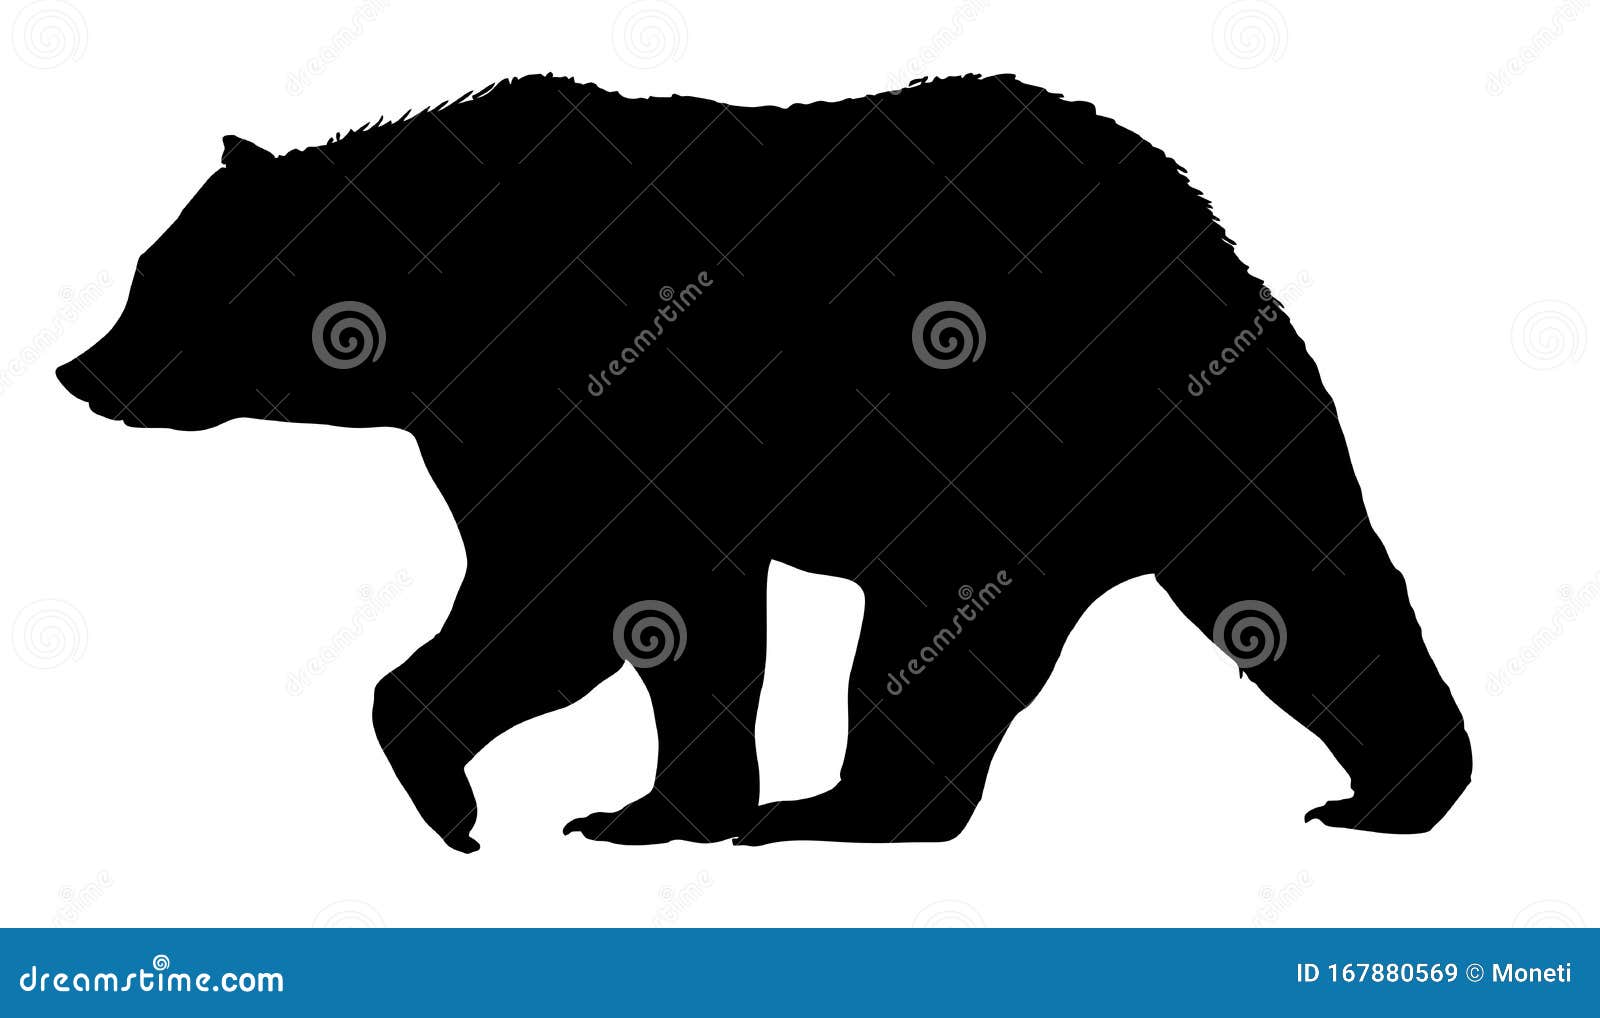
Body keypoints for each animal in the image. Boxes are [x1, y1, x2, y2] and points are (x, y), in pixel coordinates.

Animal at [56, 72, 1471, 851]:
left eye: (162, 283)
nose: (81, 371)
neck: (460, 300)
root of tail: (1200, 225)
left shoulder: (606, 394)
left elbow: (575, 593)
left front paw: (460, 792)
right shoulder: (509, 429)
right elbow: (641, 608)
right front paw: (641, 806)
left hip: (1032, 432)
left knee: (994, 624)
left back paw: (838, 810)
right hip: (1174, 435)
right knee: (1286, 576)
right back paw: (1393, 790)